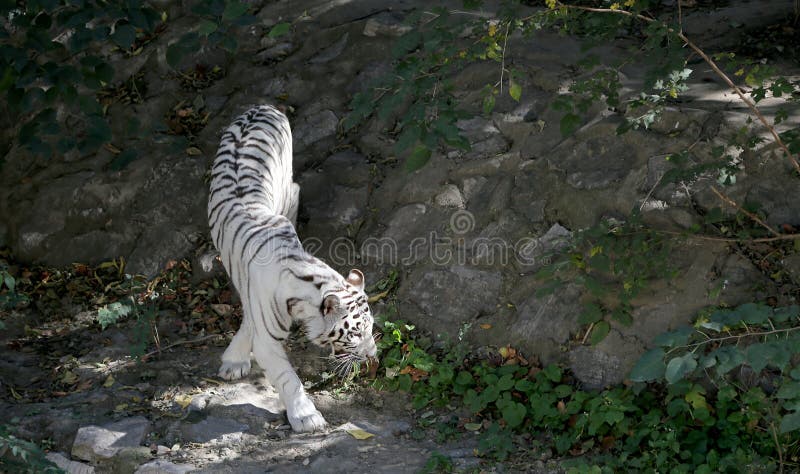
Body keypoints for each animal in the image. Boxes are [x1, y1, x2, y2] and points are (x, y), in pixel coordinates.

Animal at [207, 104, 377, 432]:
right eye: (355, 332)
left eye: (372, 327)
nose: (373, 355)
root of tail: (263, 106)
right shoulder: (267, 339)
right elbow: (289, 379)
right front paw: (307, 417)